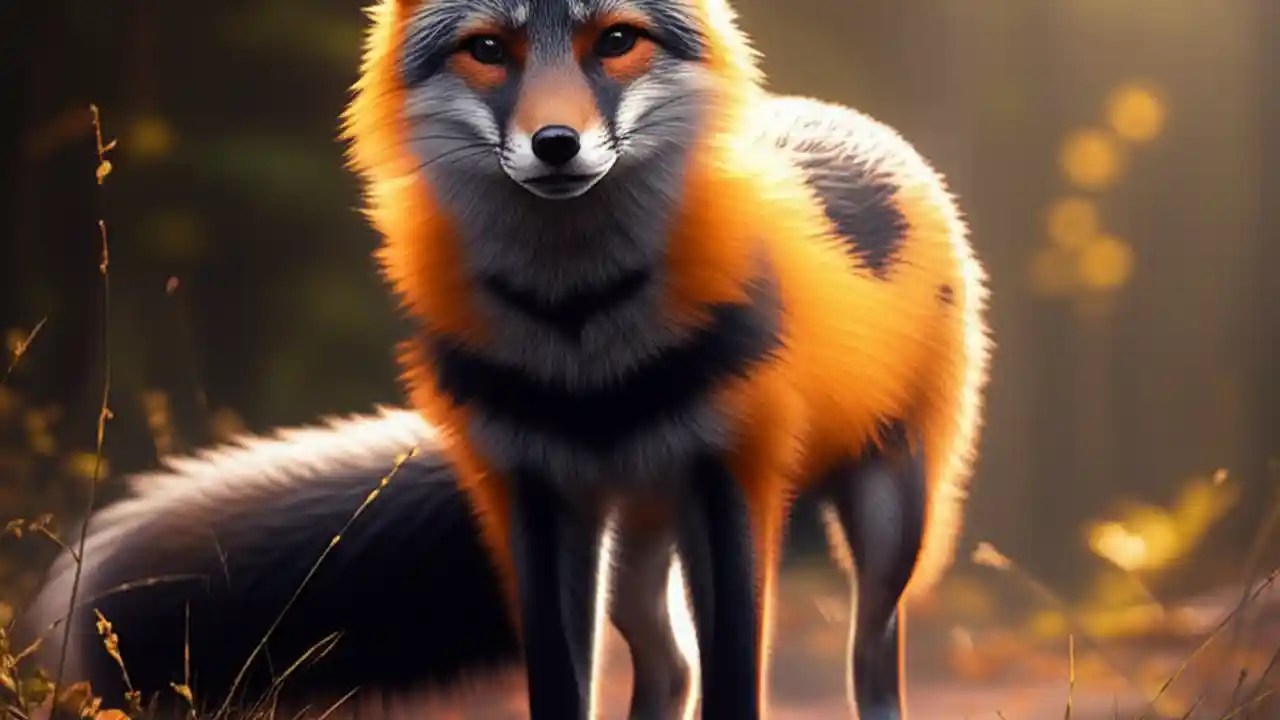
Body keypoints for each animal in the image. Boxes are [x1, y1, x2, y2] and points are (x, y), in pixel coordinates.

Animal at [22, 0, 990, 718]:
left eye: (616, 41)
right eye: (489, 49)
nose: (556, 143)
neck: (584, 344)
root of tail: (846, 121)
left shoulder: (733, 481)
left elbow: (734, 685)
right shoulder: (534, 489)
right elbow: (564, 685)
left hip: (888, 517)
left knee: (871, 658)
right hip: (635, 540)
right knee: (667, 666)